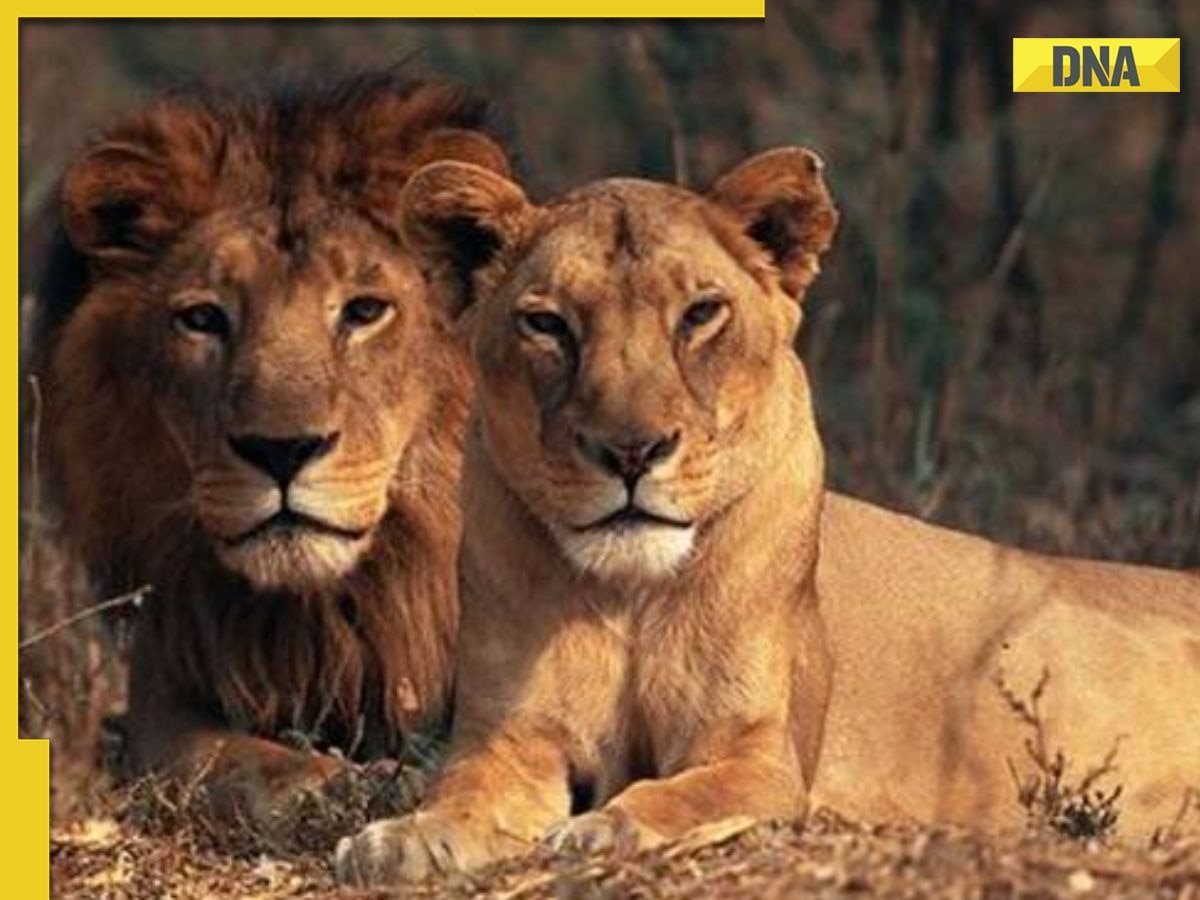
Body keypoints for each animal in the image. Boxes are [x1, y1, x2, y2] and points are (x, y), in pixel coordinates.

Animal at [36, 74, 509, 807]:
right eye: (203, 318)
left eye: (364, 310)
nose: (281, 451)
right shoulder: (165, 703)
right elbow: (240, 764)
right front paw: (343, 786)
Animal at [336, 148, 1200, 885]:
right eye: (547, 324)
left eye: (700, 315)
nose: (631, 451)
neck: (630, 594)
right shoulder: (511, 736)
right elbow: (464, 789)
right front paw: (402, 838)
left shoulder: (760, 753)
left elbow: (682, 793)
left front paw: (606, 828)